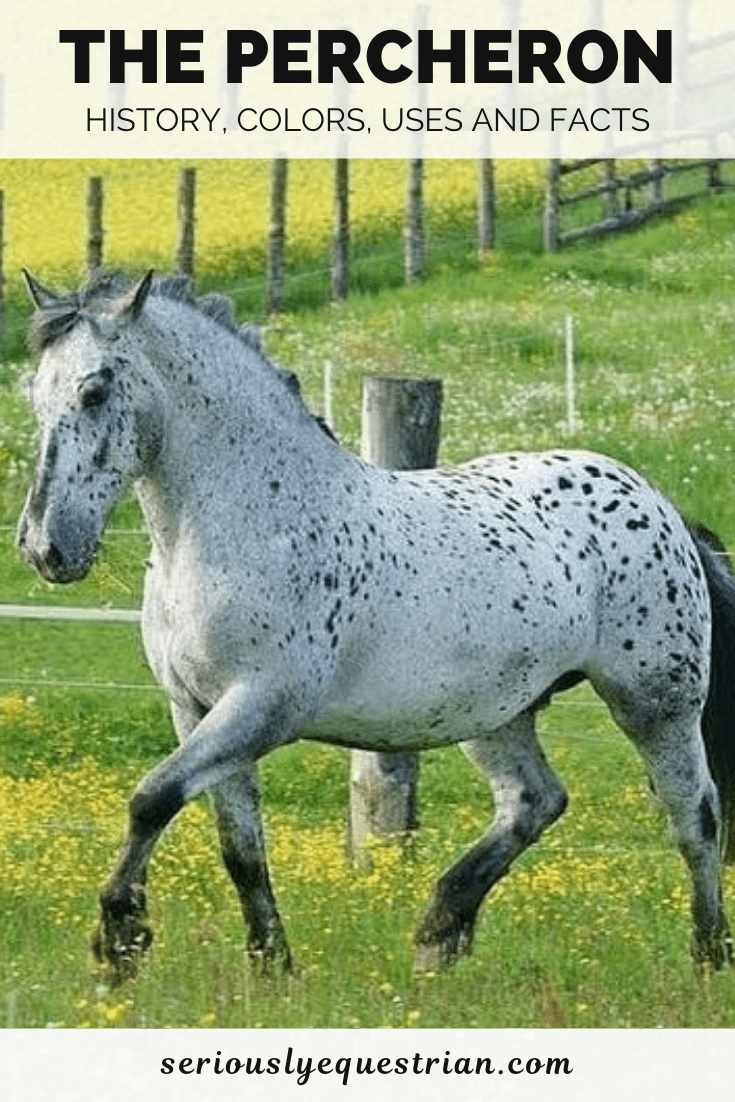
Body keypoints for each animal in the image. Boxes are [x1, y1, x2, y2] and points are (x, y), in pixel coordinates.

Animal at [16, 269, 735, 984]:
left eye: (94, 389)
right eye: (34, 392)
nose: (46, 547)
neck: (252, 521)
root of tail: (659, 502)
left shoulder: (260, 708)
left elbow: (151, 799)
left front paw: (119, 940)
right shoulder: (193, 709)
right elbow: (238, 846)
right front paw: (272, 968)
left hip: (654, 705)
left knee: (694, 815)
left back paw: (707, 957)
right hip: (496, 713)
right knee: (534, 801)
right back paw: (439, 930)